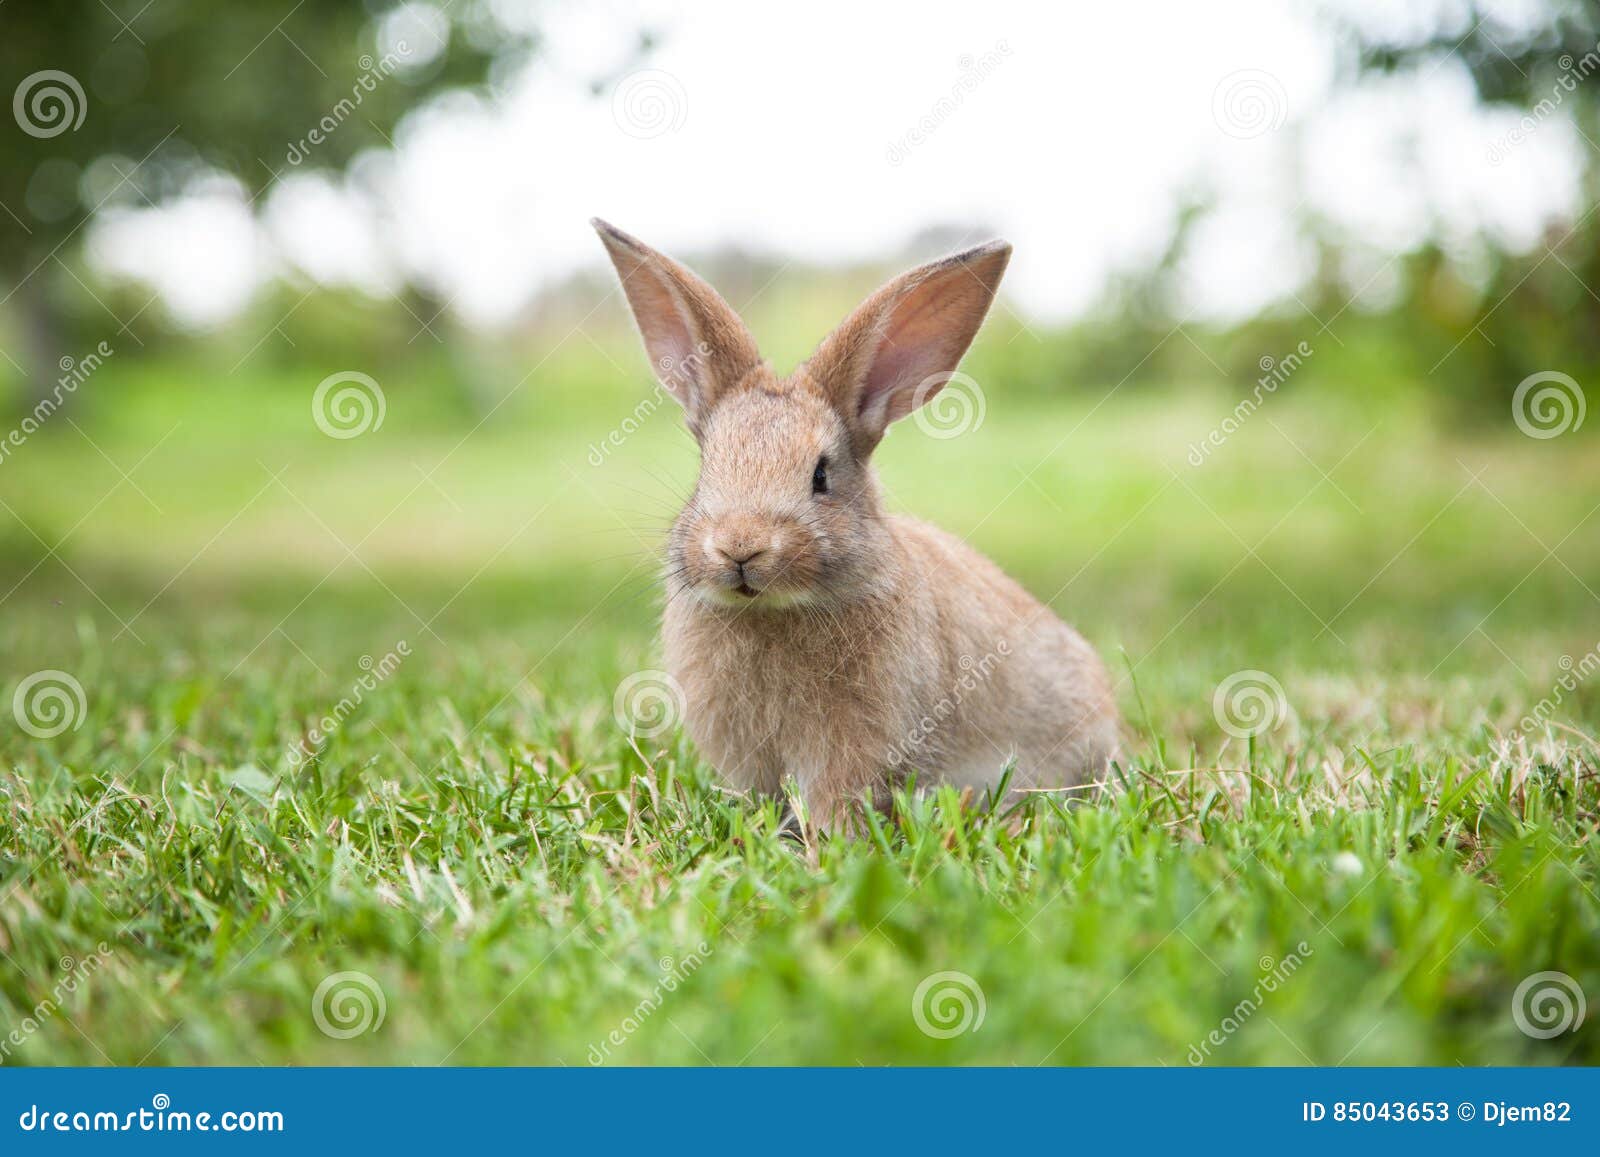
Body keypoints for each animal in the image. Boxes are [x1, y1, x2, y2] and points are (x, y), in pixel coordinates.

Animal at [592, 218, 1120, 832]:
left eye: (821, 475)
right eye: (707, 468)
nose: (740, 548)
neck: (773, 612)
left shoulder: (854, 746)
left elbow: (835, 797)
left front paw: (827, 841)